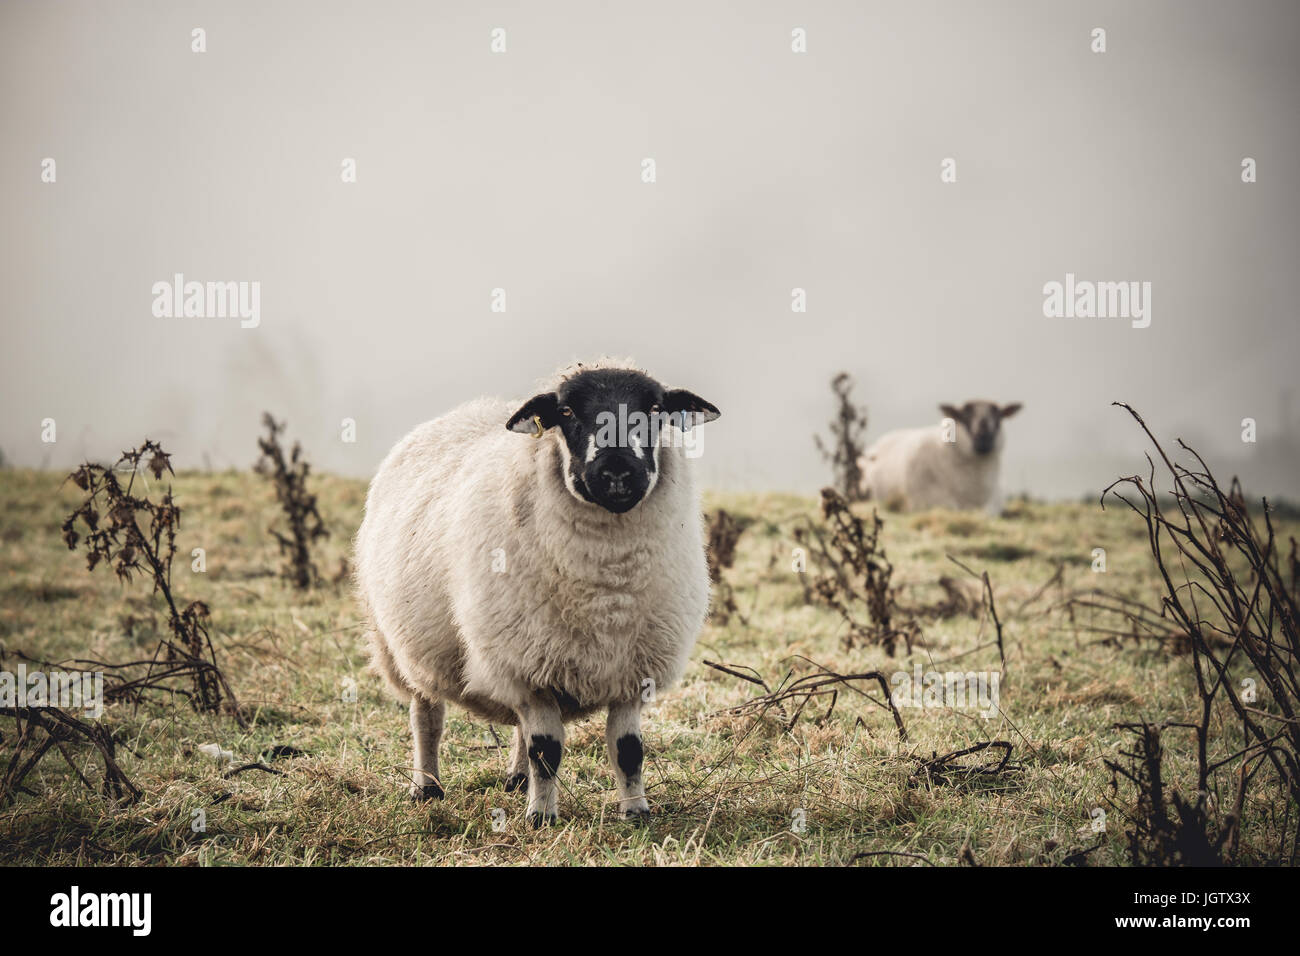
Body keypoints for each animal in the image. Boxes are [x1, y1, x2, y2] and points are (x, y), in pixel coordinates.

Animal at [352, 359, 720, 825]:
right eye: (566, 412)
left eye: (655, 409)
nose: (617, 472)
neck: (608, 588)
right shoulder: (527, 665)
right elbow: (547, 749)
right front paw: (542, 817)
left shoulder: (628, 671)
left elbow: (628, 750)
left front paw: (636, 811)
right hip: (407, 646)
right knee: (426, 717)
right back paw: (427, 787)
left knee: (517, 726)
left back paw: (516, 779)